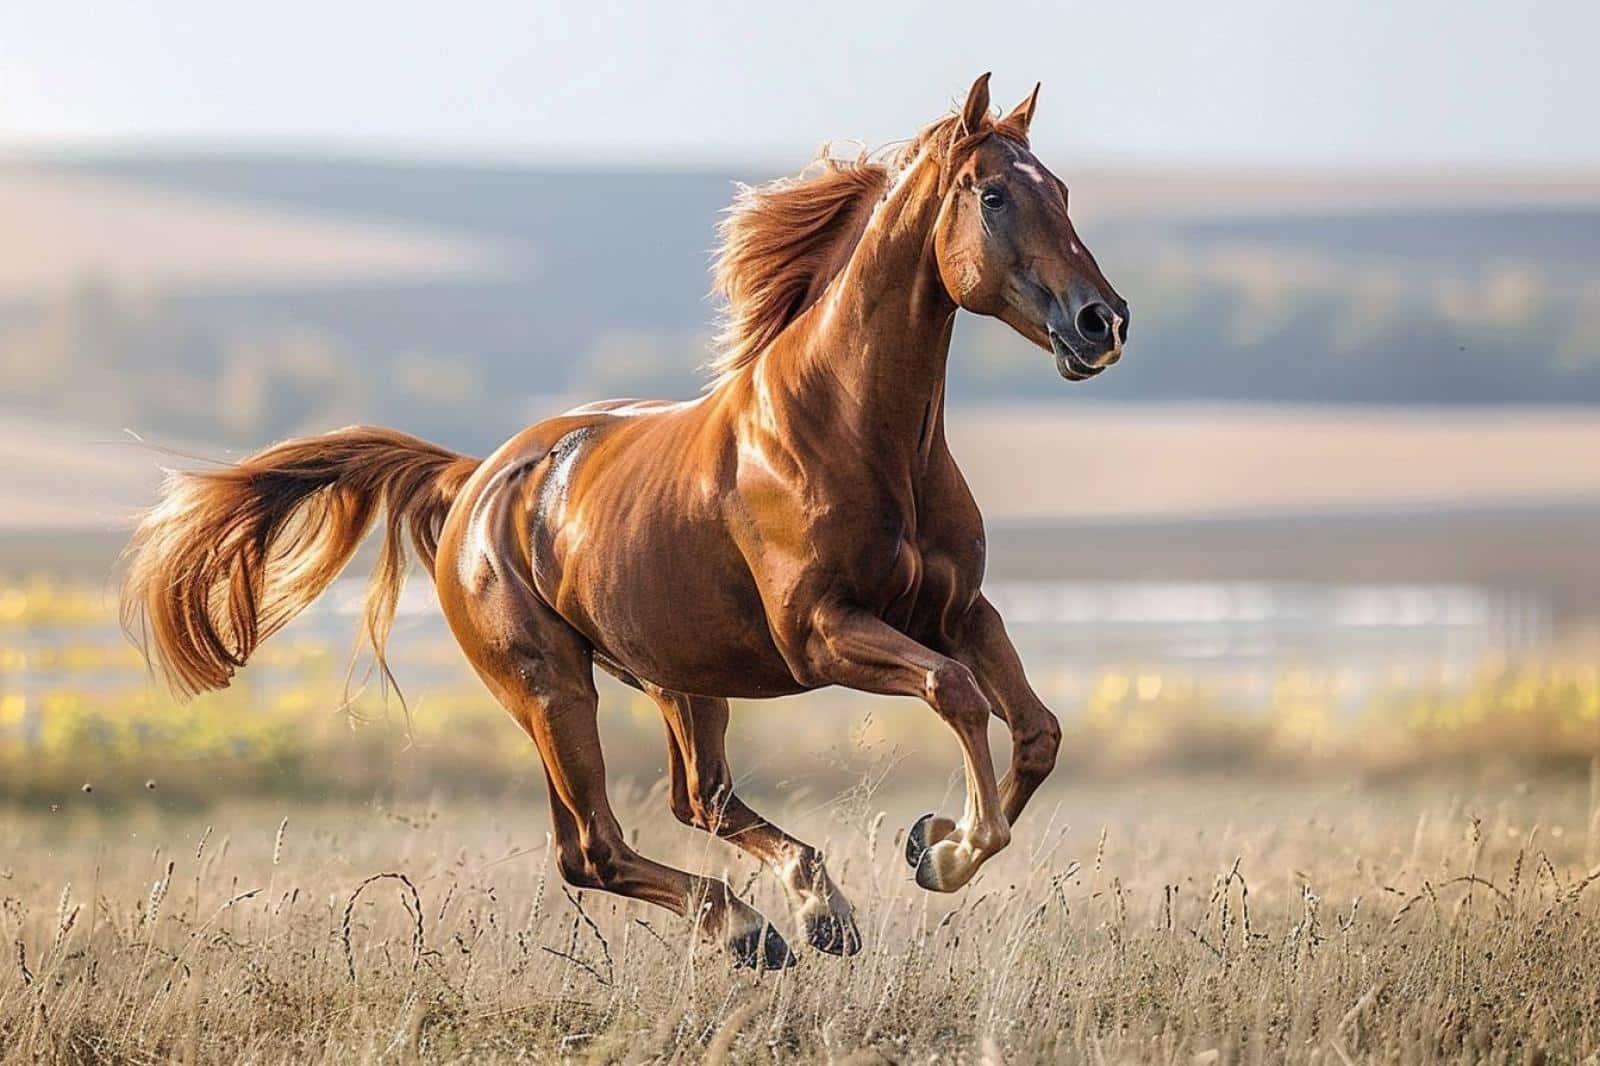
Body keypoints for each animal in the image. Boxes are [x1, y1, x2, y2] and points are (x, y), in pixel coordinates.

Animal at [121, 74, 1129, 969]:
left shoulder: (959, 612)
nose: (1102, 322)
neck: (855, 434)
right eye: (993, 194)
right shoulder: (822, 634)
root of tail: (474, 483)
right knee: (593, 847)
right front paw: (945, 848)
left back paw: (813, 909)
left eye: (1062, 190)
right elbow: (955, 692)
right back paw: (753, 929)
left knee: (699, 800)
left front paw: (928, 845)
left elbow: (1037, 730)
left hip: (679, 675)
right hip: (554, 689)